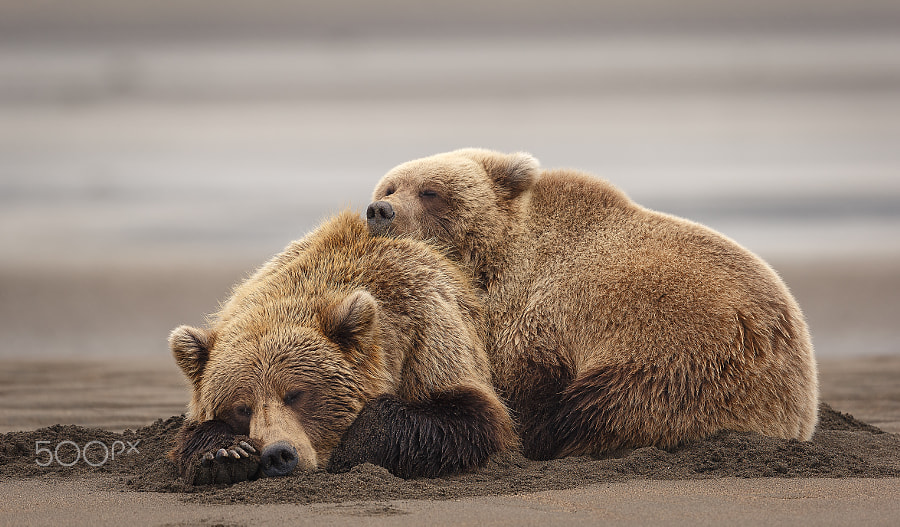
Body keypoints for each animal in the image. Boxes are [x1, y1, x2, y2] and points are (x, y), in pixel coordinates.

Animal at [168, 211, 515, 484]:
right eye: (241, 407)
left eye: (296, 394)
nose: (277, 454)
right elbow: (195, 432)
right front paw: (226, 453)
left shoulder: (428, 328)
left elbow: (472, 414)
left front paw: (351, 448)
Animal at [367, 148, 820, 460]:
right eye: (390, 186)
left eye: (430, 190)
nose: (380, 210)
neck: (493, 259)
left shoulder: (539, 315)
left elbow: (523, 386)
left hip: (680, 357)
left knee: (598, 406)